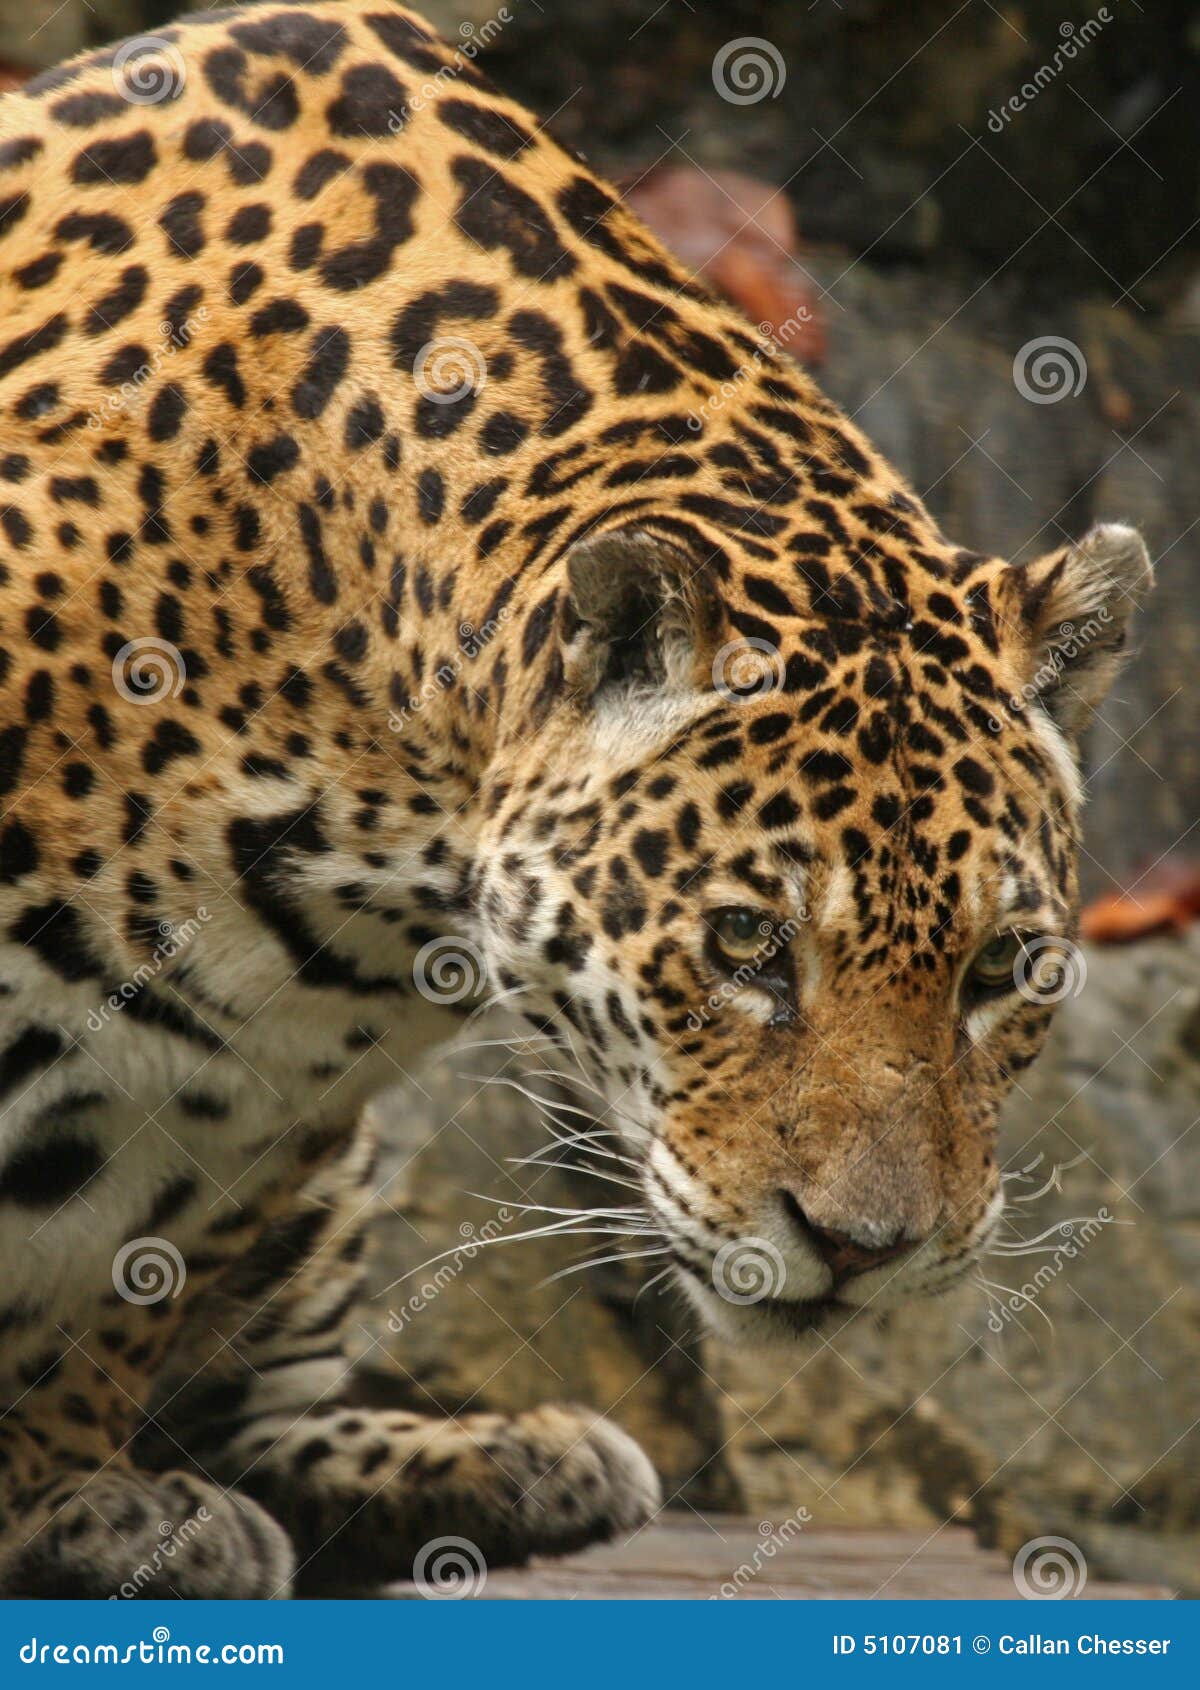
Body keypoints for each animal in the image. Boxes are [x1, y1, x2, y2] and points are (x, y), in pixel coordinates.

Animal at [0, 0, 1153, 1598]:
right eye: (746, 946)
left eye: (1002, 970)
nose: (864, 1245)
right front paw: (68, 1510)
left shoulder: (239, 1115)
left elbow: (111, 1305)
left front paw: (71, 1492)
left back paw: (512, 1465)